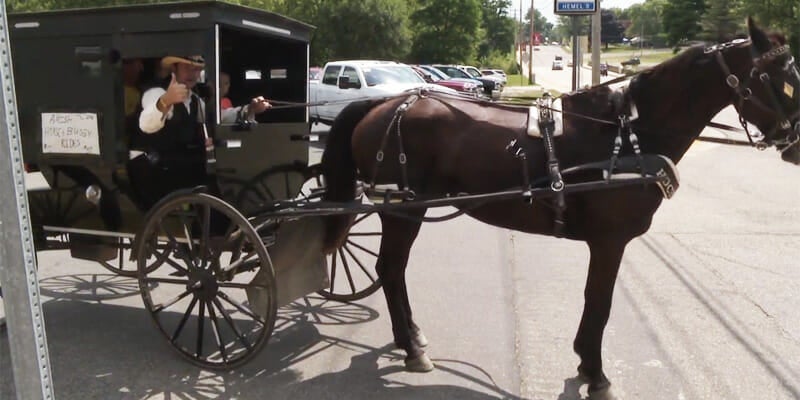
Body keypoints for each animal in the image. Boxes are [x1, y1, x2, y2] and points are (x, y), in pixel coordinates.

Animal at [320, 18, 800, 398]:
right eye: (778, 77)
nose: (795, 143)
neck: (626, 135)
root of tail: (386, 103)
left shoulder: (607, 242)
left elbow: (596, 301)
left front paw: (587, 365)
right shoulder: (610, 241)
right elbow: (600, 302)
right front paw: (596, 372)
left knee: (392, 269)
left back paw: (410, 341)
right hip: (403, 208)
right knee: (390, 268)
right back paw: (412, 346)